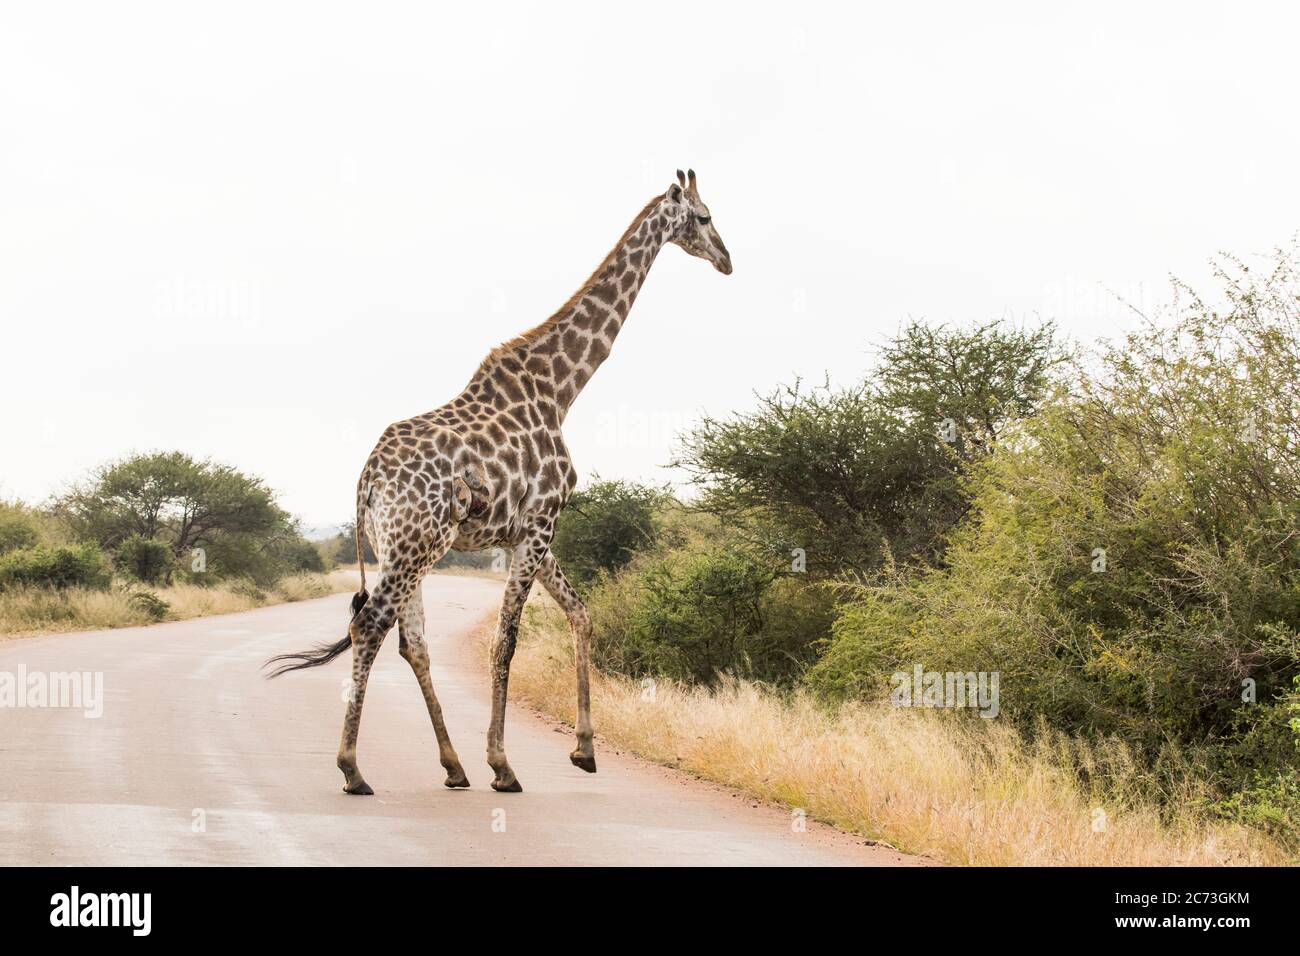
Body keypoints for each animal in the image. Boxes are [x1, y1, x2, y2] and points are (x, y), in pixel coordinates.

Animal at [266, 169, 731, 794]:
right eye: (704, 217)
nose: (727, 259)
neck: (560, 389)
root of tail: (366, 477)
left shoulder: (527, 530)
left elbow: (581, 613)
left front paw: (584, 750)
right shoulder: (540, 521)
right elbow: (506, 639)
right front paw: (503, 764)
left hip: (401, 546)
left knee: (412, 642)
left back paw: (452, 766)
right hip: (416, 543)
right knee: (369, 626)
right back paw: (353, 768)